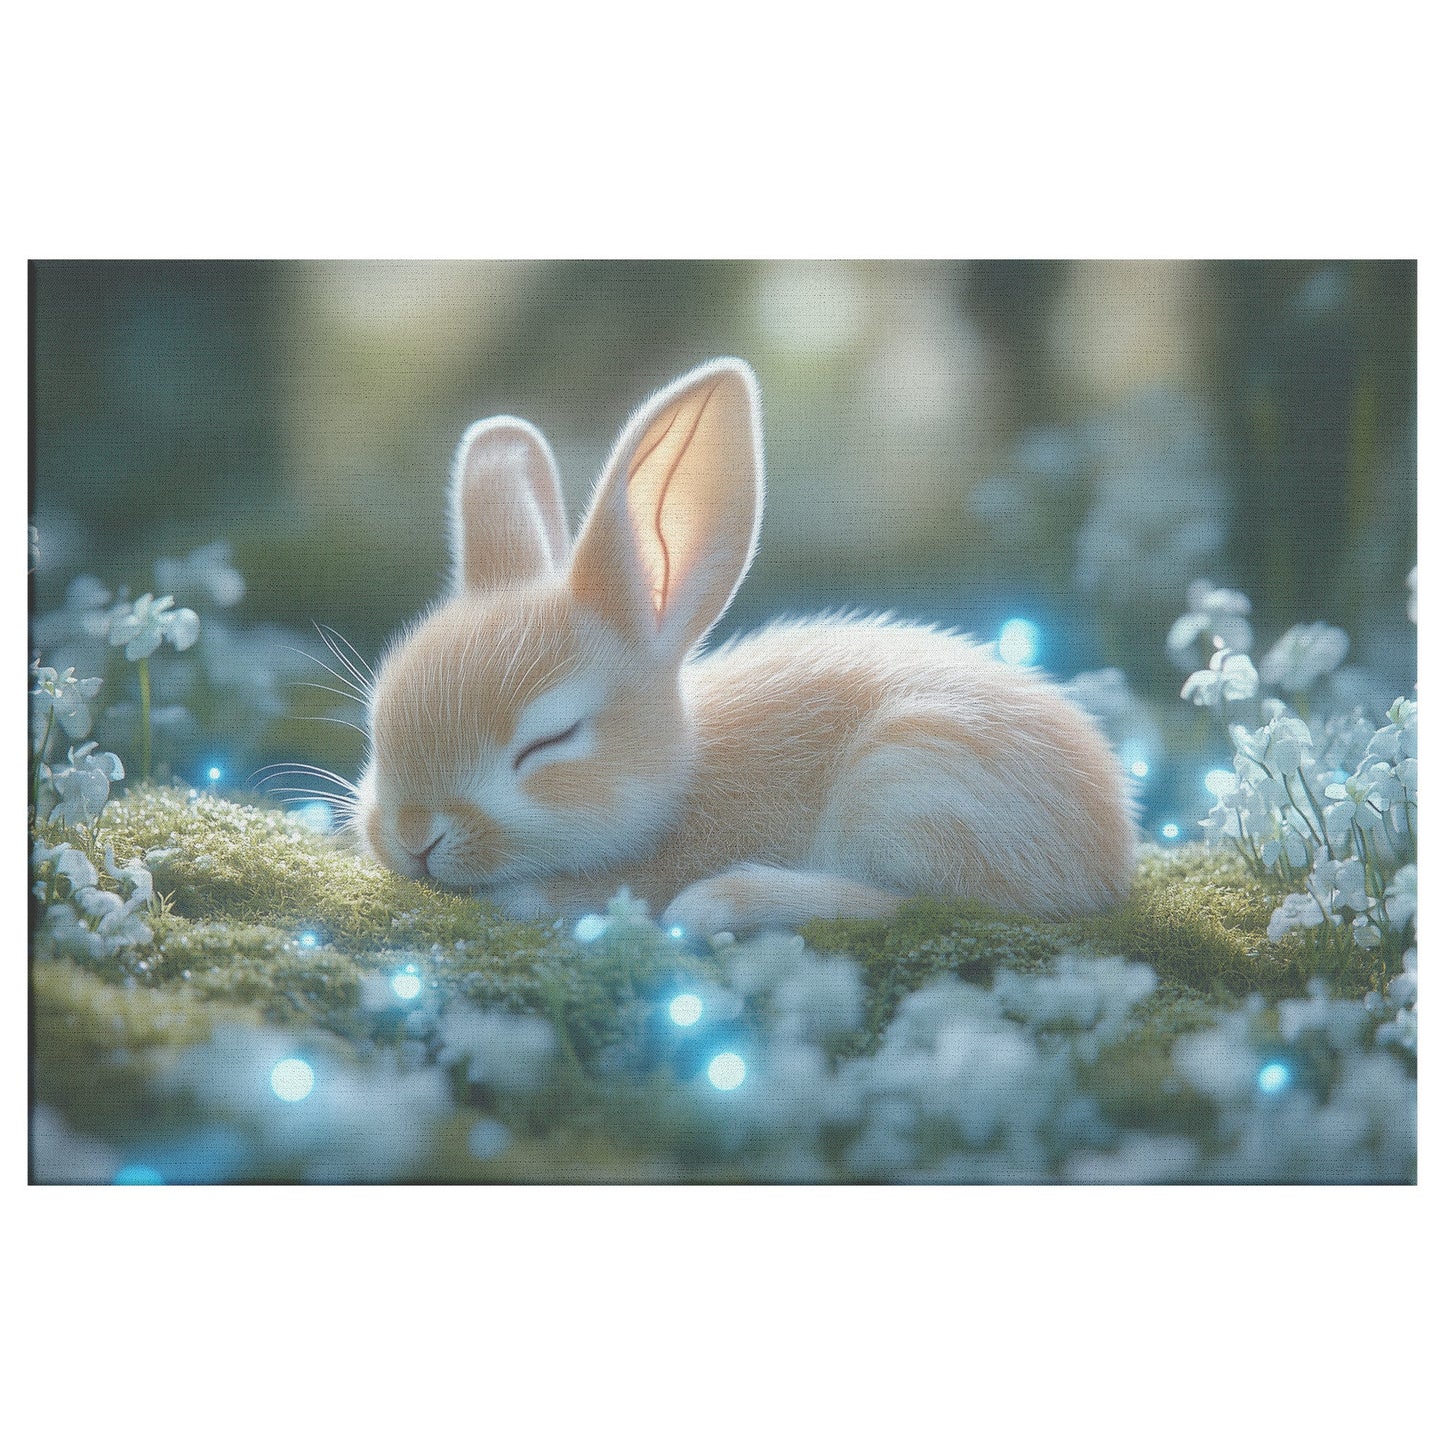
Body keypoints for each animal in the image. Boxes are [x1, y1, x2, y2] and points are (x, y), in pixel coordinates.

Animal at [356, 357, 1136, 937]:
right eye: (375, 728)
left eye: (550, 740)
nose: (415, 835)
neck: (681, 781)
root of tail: (1109, 851)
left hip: (914, 772)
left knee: (937, 904)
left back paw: (724, 902)